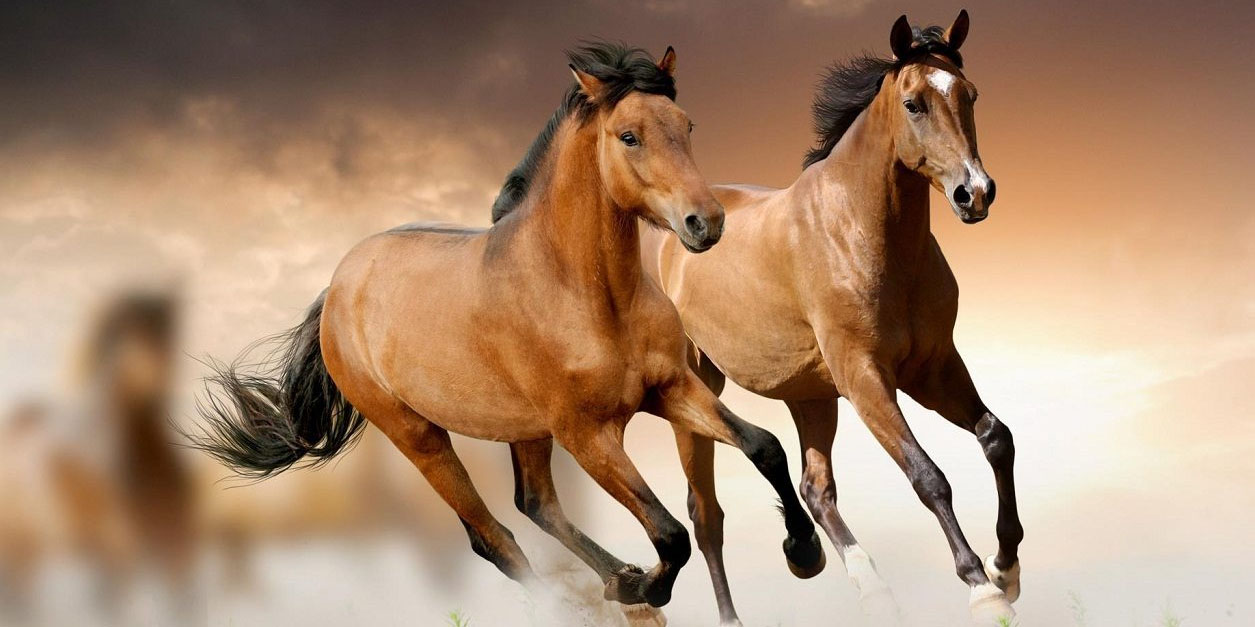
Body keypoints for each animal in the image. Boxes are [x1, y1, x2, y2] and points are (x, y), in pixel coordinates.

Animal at [190, 42, 824, 618]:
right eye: (629, 136)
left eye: (686, 125)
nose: (705, 223)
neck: (588, 294)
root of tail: (337, 289)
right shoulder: (588, 434)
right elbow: (670, 532)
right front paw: (646, 588)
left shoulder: (670, 389)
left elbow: (764, 448)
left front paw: (803, 552)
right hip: (419, 436)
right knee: (493, 538)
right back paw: (603, 594)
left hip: (525, 429)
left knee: (536, 504)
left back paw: (616, 578)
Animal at [641, 12, 1021, 625]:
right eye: (913, 103)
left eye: (970, 94)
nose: (976, 193)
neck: (861, 232)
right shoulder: (865, 377)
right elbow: (928, 476)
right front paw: (981, 587)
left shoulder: (933, 368)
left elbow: (996, 438)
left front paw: (1006, 568)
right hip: (697, 390)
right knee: (706, 514)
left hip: (811, 396)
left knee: (815, 489)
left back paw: (862, 582)